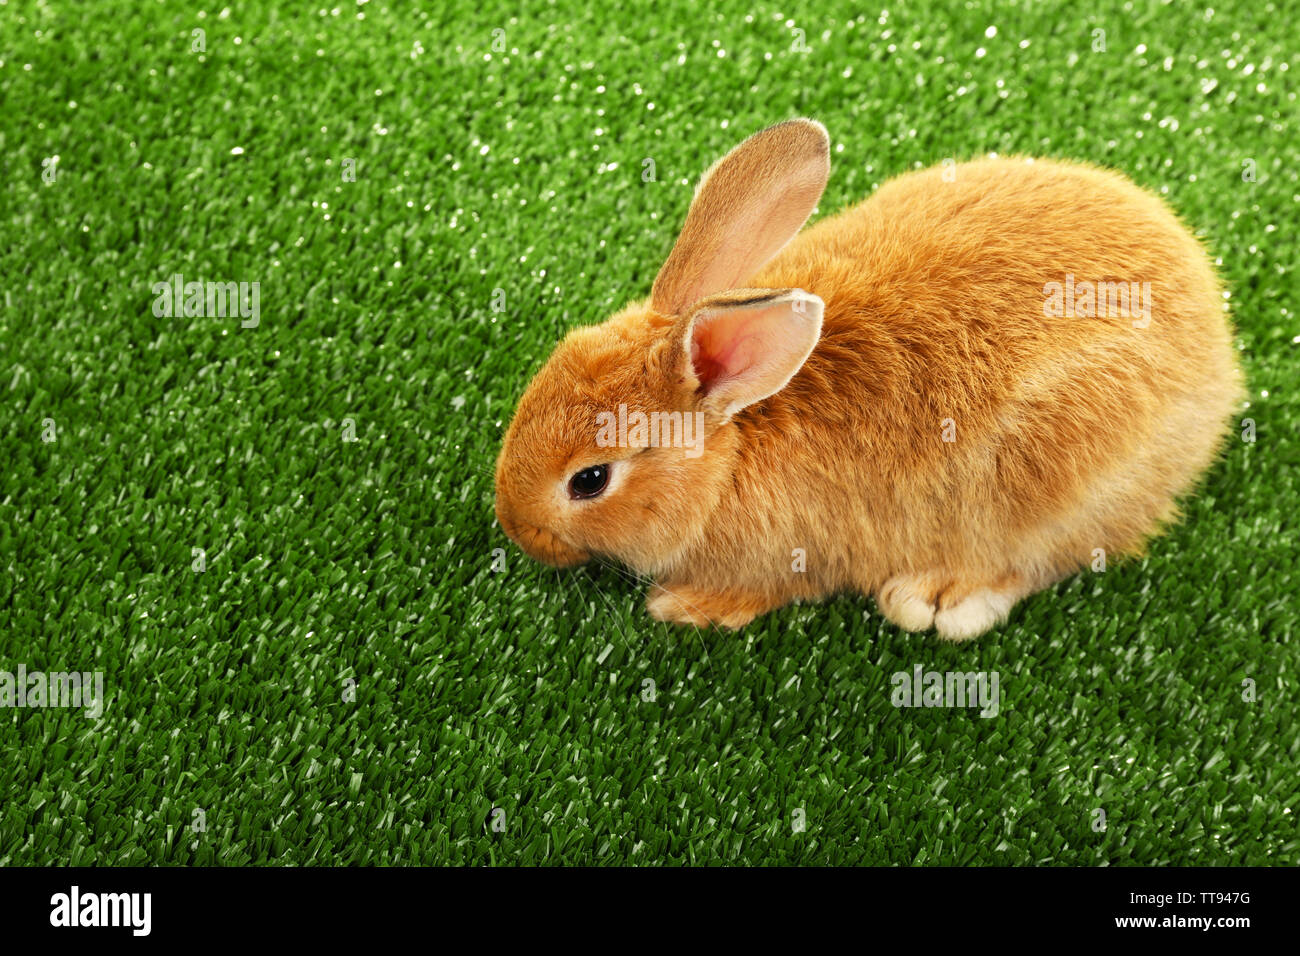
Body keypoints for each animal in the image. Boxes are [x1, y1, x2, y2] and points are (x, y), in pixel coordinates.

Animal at [493, 119, 1244, 640]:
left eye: (590, 480)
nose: (518, 531)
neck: (730, 444)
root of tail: (1216, 351)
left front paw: (684, 606)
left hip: (1061, 483)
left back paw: (938, 598)